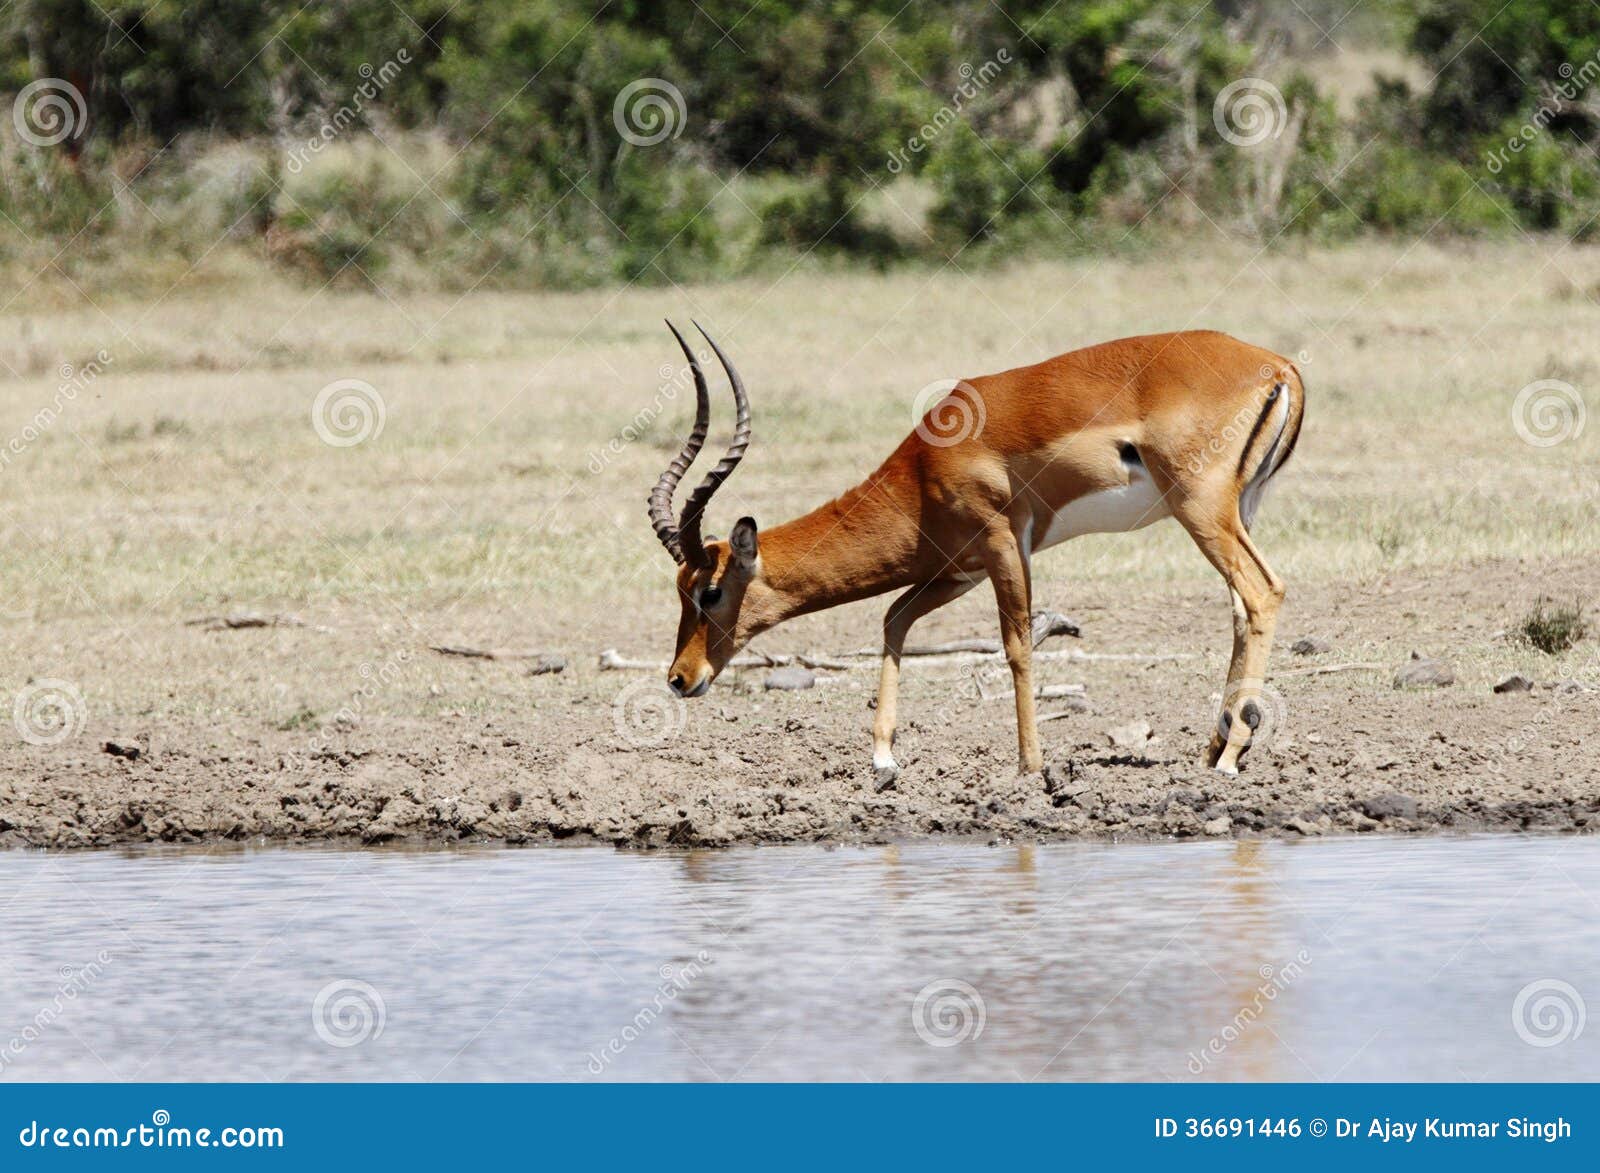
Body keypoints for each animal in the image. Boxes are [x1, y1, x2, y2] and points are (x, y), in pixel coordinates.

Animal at [648, 321, 1305, 786]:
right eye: (678, 590)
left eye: (710, 591)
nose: (679, 679)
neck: (921, 471)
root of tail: (1279, 366)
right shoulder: (956, 571)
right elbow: (893, 619)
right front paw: (883, 758)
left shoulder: (1002, 544)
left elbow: (1016, 644)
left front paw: (1030, 766)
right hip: (1238, 510)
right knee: (1240, 609)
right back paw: (1214, 748)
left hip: (1201, 510)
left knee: (1263, 591)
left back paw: (1231, 756)